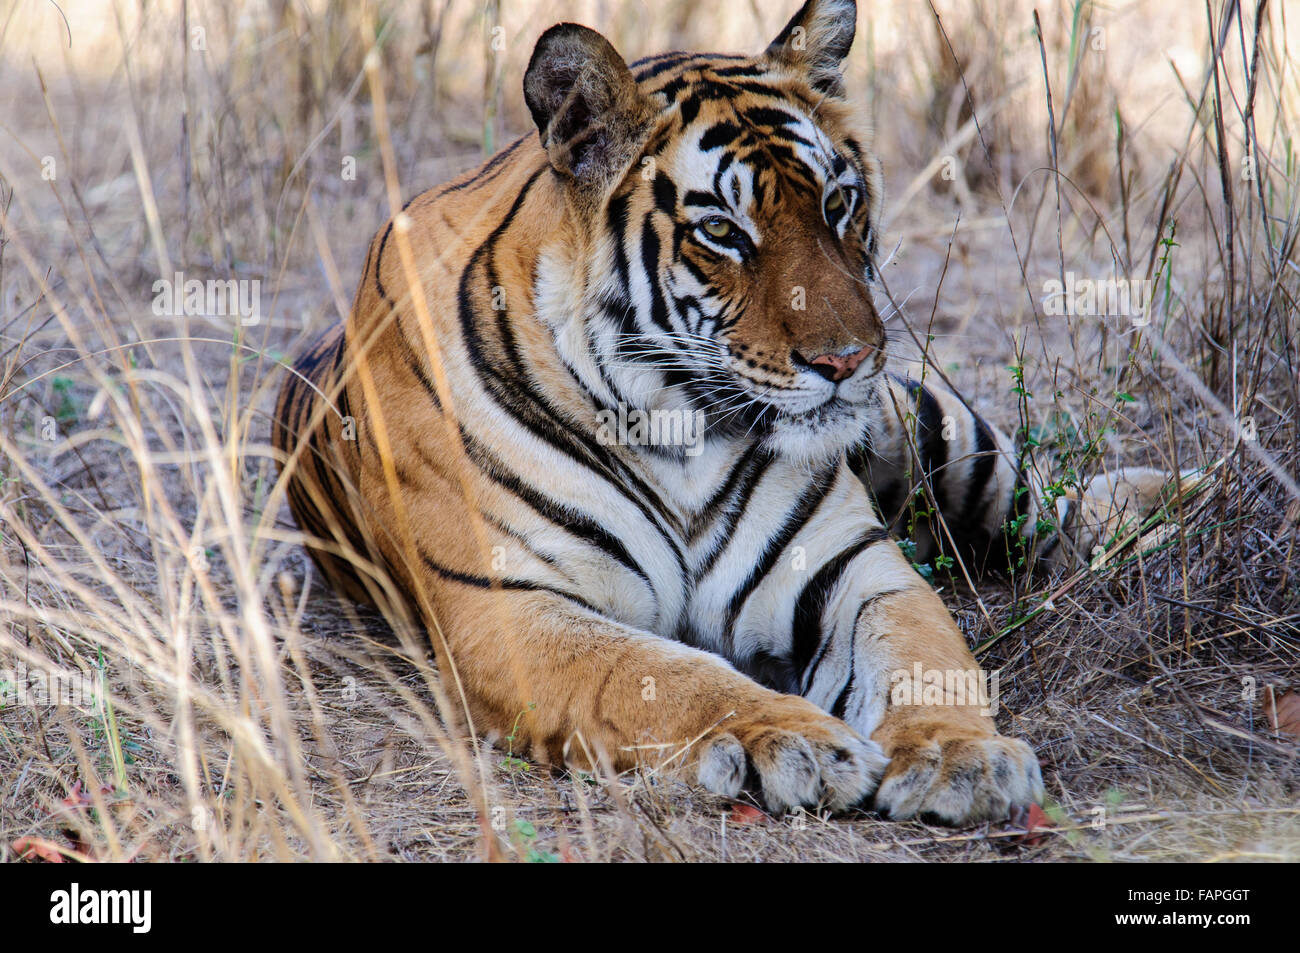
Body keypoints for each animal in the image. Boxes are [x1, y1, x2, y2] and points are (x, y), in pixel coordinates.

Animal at [273, 0, 1179, 824]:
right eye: (721, 230)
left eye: (839, 202)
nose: (849, 361)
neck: (672, 424)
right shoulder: (512, 607)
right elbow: (670, 678)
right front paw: (793, 739)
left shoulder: (854, 565)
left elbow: (924, 655)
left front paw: (960, 755)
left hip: (939, 432)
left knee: (1045, 504)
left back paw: (1164, 509)